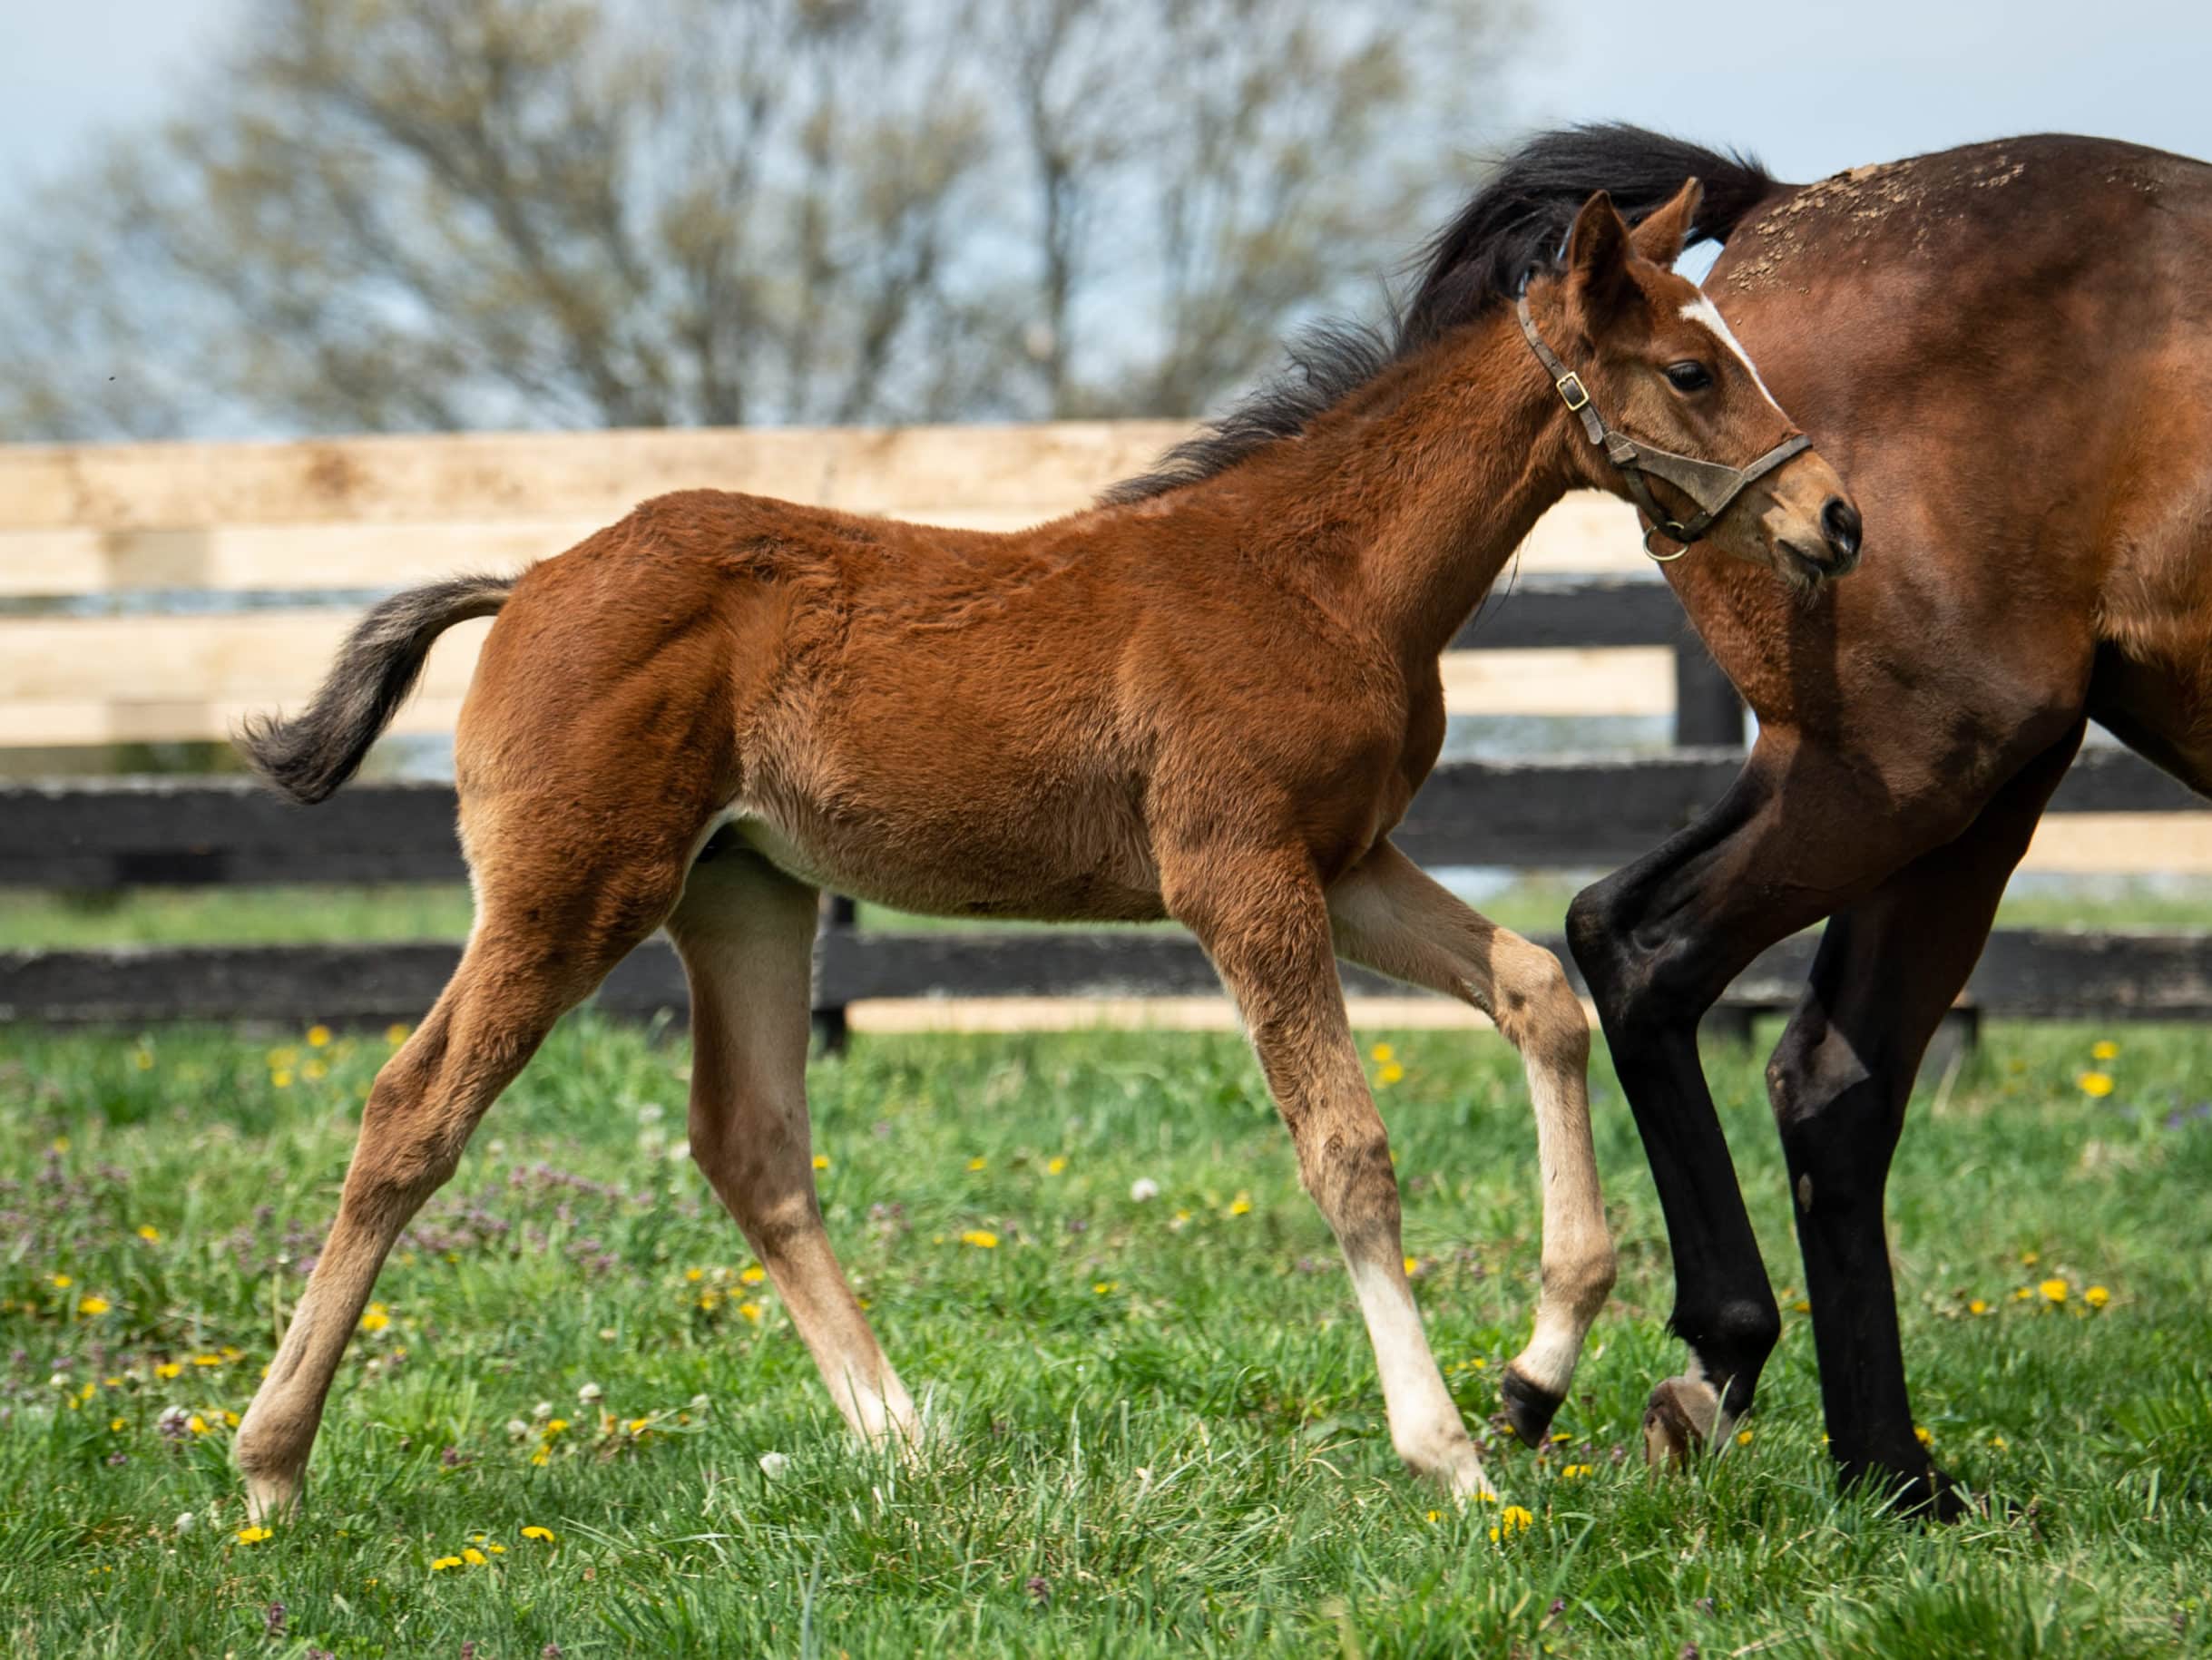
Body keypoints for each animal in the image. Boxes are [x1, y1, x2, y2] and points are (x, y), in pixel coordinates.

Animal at [227, 179, 1860, 1522]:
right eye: (1691, 369)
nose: (1833, 518)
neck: (1318, 577)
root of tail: (528, 581)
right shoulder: (1238, 875)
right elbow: (1345, 1145)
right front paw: (1446, 1453)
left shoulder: (1343, 860)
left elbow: (1532, 989)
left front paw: (1539, 1360)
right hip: (573, 890)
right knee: (412, 1108)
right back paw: (270, 1465)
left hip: (745, 892)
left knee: (751, 1142)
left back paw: (900, 1436)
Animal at [1435, 125, 2212, 1516]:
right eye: (1688, 374)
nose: (1831, 516)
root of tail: (1786, 199)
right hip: (1912, 765)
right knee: (1643, 944)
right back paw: (1717, 1363)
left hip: (1957, 790)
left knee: (1823, 1076)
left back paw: (1888, 1473)